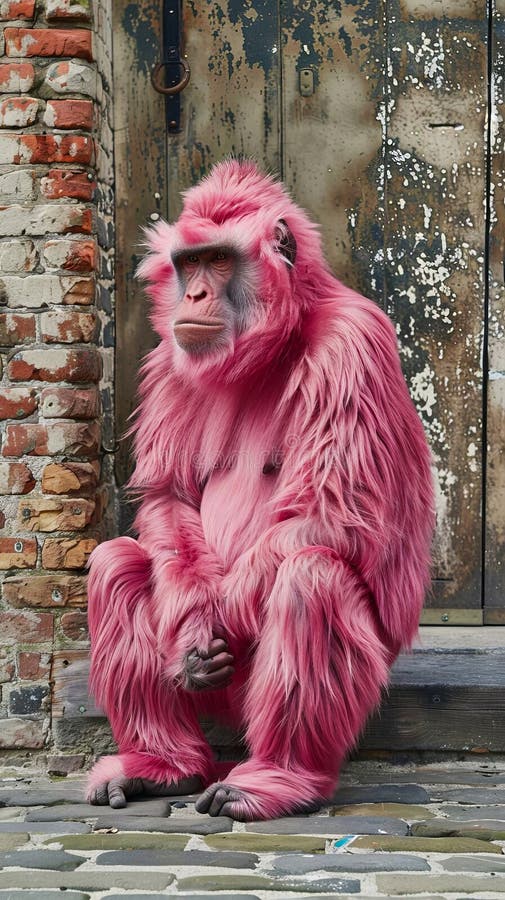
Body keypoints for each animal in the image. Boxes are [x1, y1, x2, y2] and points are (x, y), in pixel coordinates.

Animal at [86, 160, 434, 820]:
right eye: (191, 262)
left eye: (220, 261)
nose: (194, 294)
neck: (274, 344)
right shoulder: (171, 360)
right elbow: (170, 496)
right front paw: (191, 625)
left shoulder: (352, 346)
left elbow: (332, 511)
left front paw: (207, 625)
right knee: (118, 562)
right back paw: (164, 765)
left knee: (311, 575)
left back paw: (278, 777)